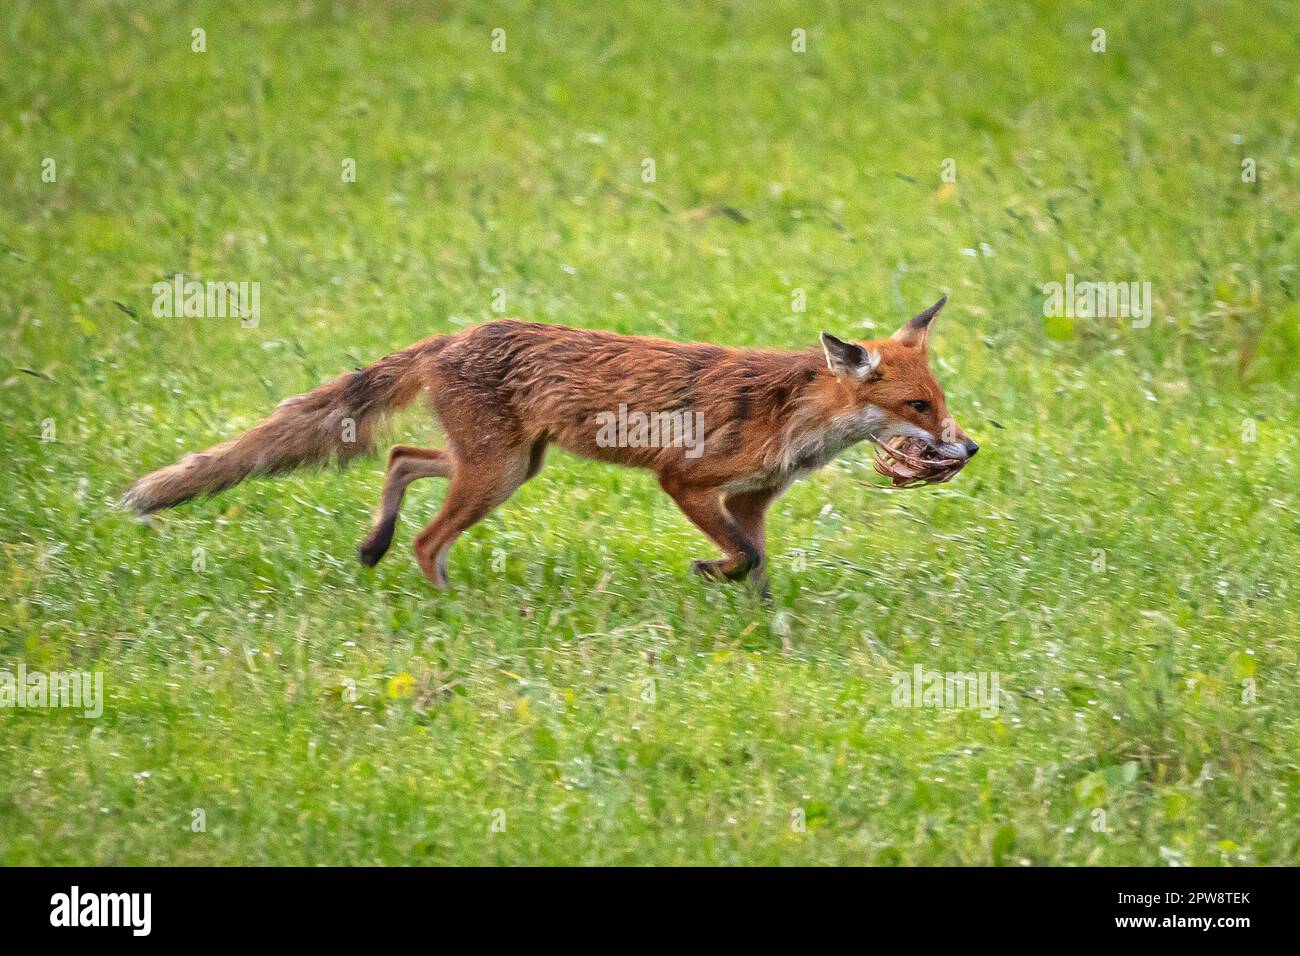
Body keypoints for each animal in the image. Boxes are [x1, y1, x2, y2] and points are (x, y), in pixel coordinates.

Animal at [123, 296, 977, 597]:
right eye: (917, 406)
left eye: (941, 401)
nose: (966, 449)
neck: (796, 416)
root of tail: (455, 334)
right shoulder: (686, 482)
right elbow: (742, 553)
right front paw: (714, 574)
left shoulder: (753, 499)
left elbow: (758, 558)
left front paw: (755, 615)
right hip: (495, 473)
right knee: (429, 538)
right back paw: (443, 602)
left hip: (505, 466)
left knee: (401, 462)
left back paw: (374, 543)